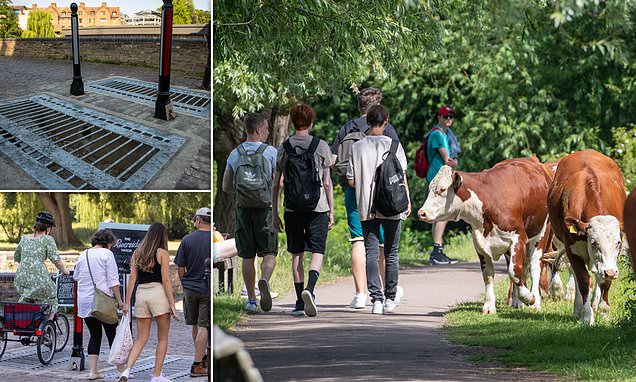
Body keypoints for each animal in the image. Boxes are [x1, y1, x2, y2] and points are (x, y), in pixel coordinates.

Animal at [418, 156, 552, 314]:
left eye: (442, 189)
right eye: (430, 188)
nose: (421, 213)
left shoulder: (518, 237)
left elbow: (514, 272)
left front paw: (528, 297)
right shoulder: (479, 242)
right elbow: (488, 275)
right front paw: (489, 306)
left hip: (541, 233)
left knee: (534, 265)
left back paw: (535, 301)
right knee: (522, 268)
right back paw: (517, 302)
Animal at [548, 149, 628, 326]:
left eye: (618, 243)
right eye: (594, 242)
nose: (611, 272)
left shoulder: (610, 262)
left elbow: (604, 282)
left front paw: (604, 311)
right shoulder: (571, 249)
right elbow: (584, 281)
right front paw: (586, 315)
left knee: (598, 276)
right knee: (579, 278)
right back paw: (578, 308)